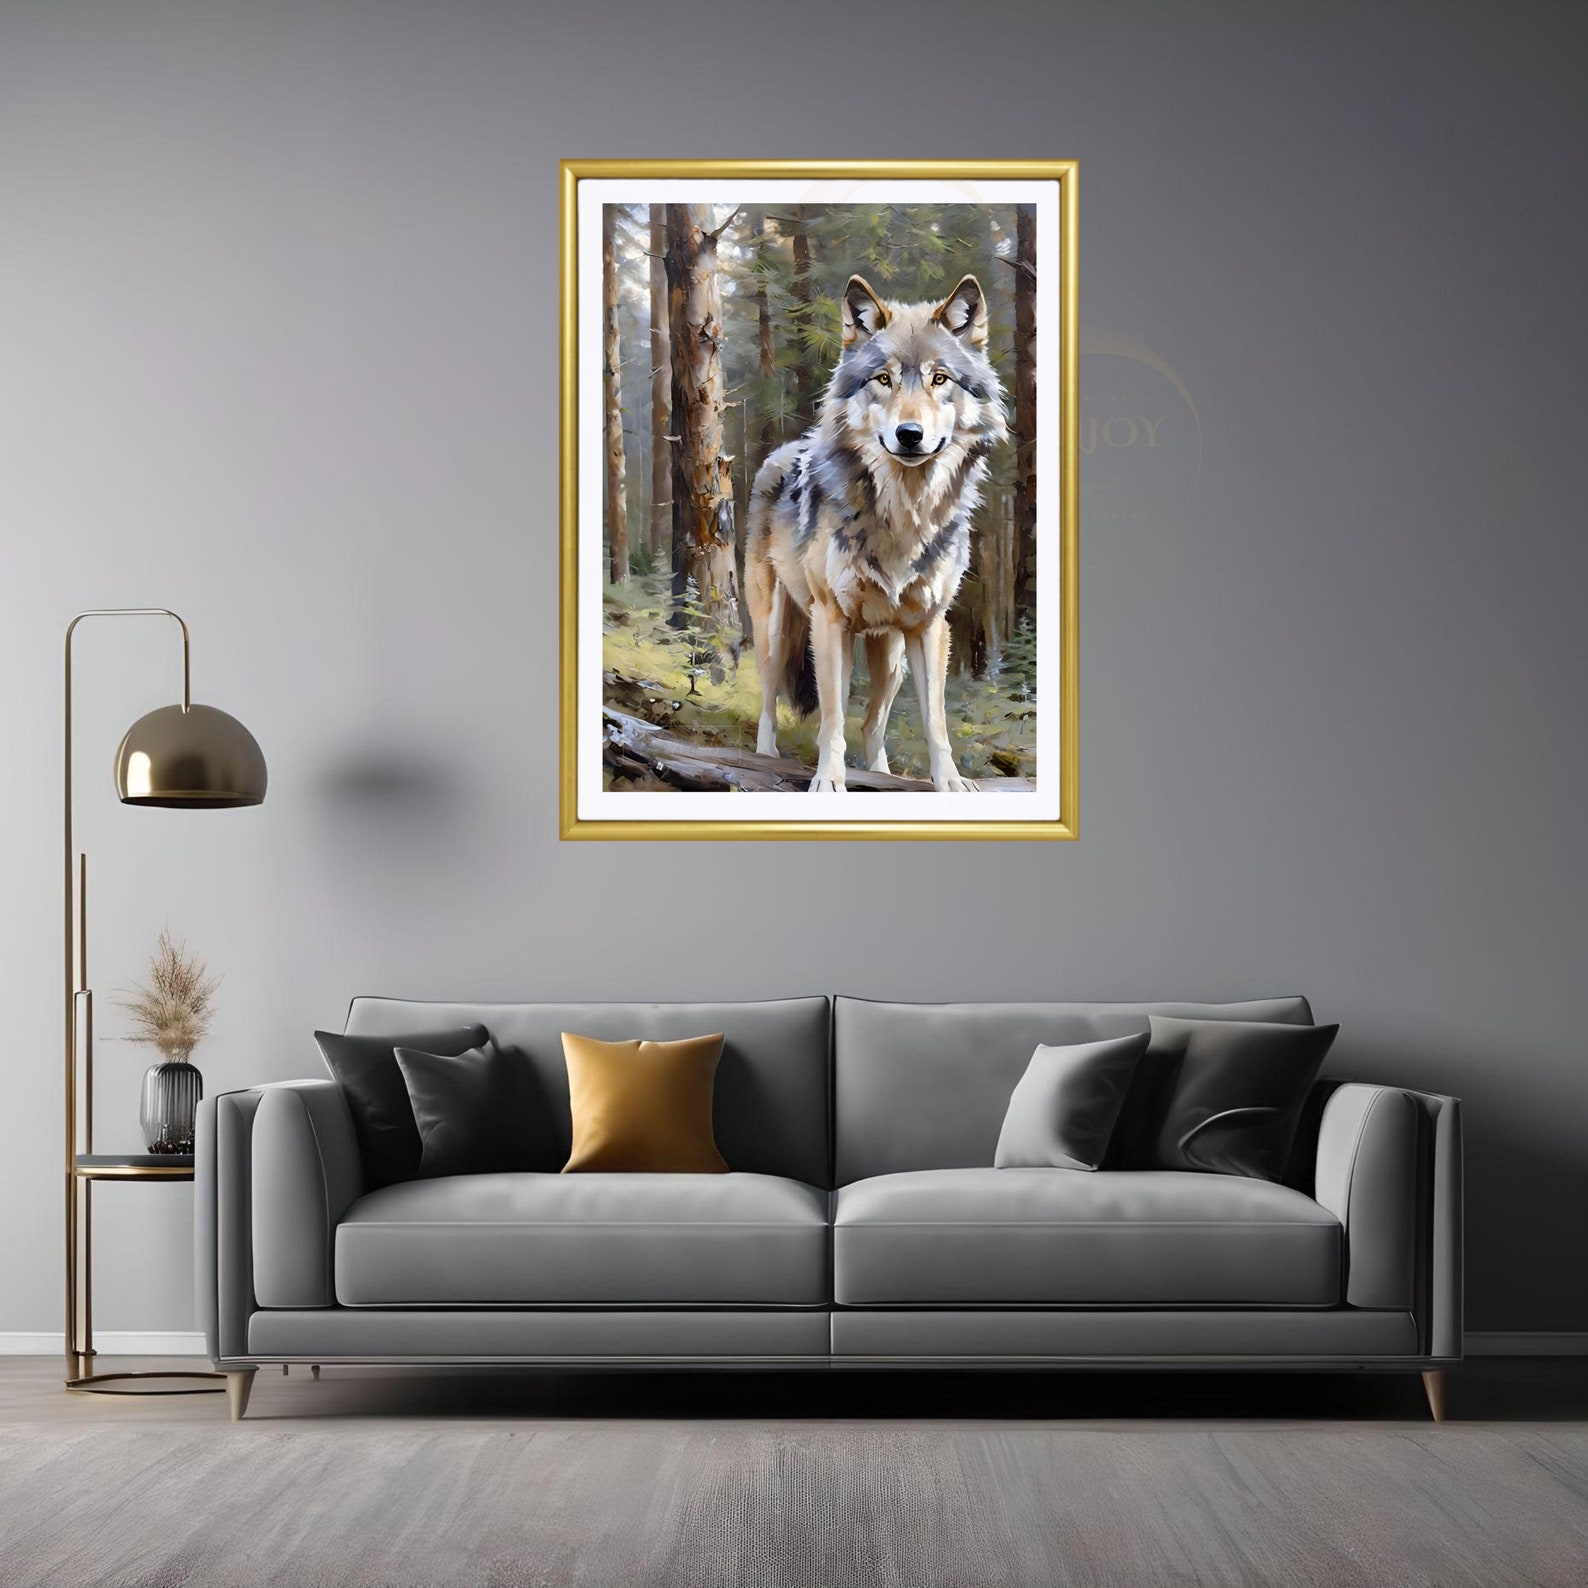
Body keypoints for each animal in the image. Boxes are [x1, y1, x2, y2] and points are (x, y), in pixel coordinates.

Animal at [745, 272, 1009, 792]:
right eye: (883, 379)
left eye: (939, 379)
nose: (910, 434)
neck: (903, 515)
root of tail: (783, 449)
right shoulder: (830, 621)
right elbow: (831, 718)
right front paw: (828, 780)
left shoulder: (931, 625)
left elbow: (935, 719)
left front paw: (949, 781)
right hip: (776, 631)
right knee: (769, 699)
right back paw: (766, 757)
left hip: (890, 654)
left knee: (872, 723)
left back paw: (880, 773)